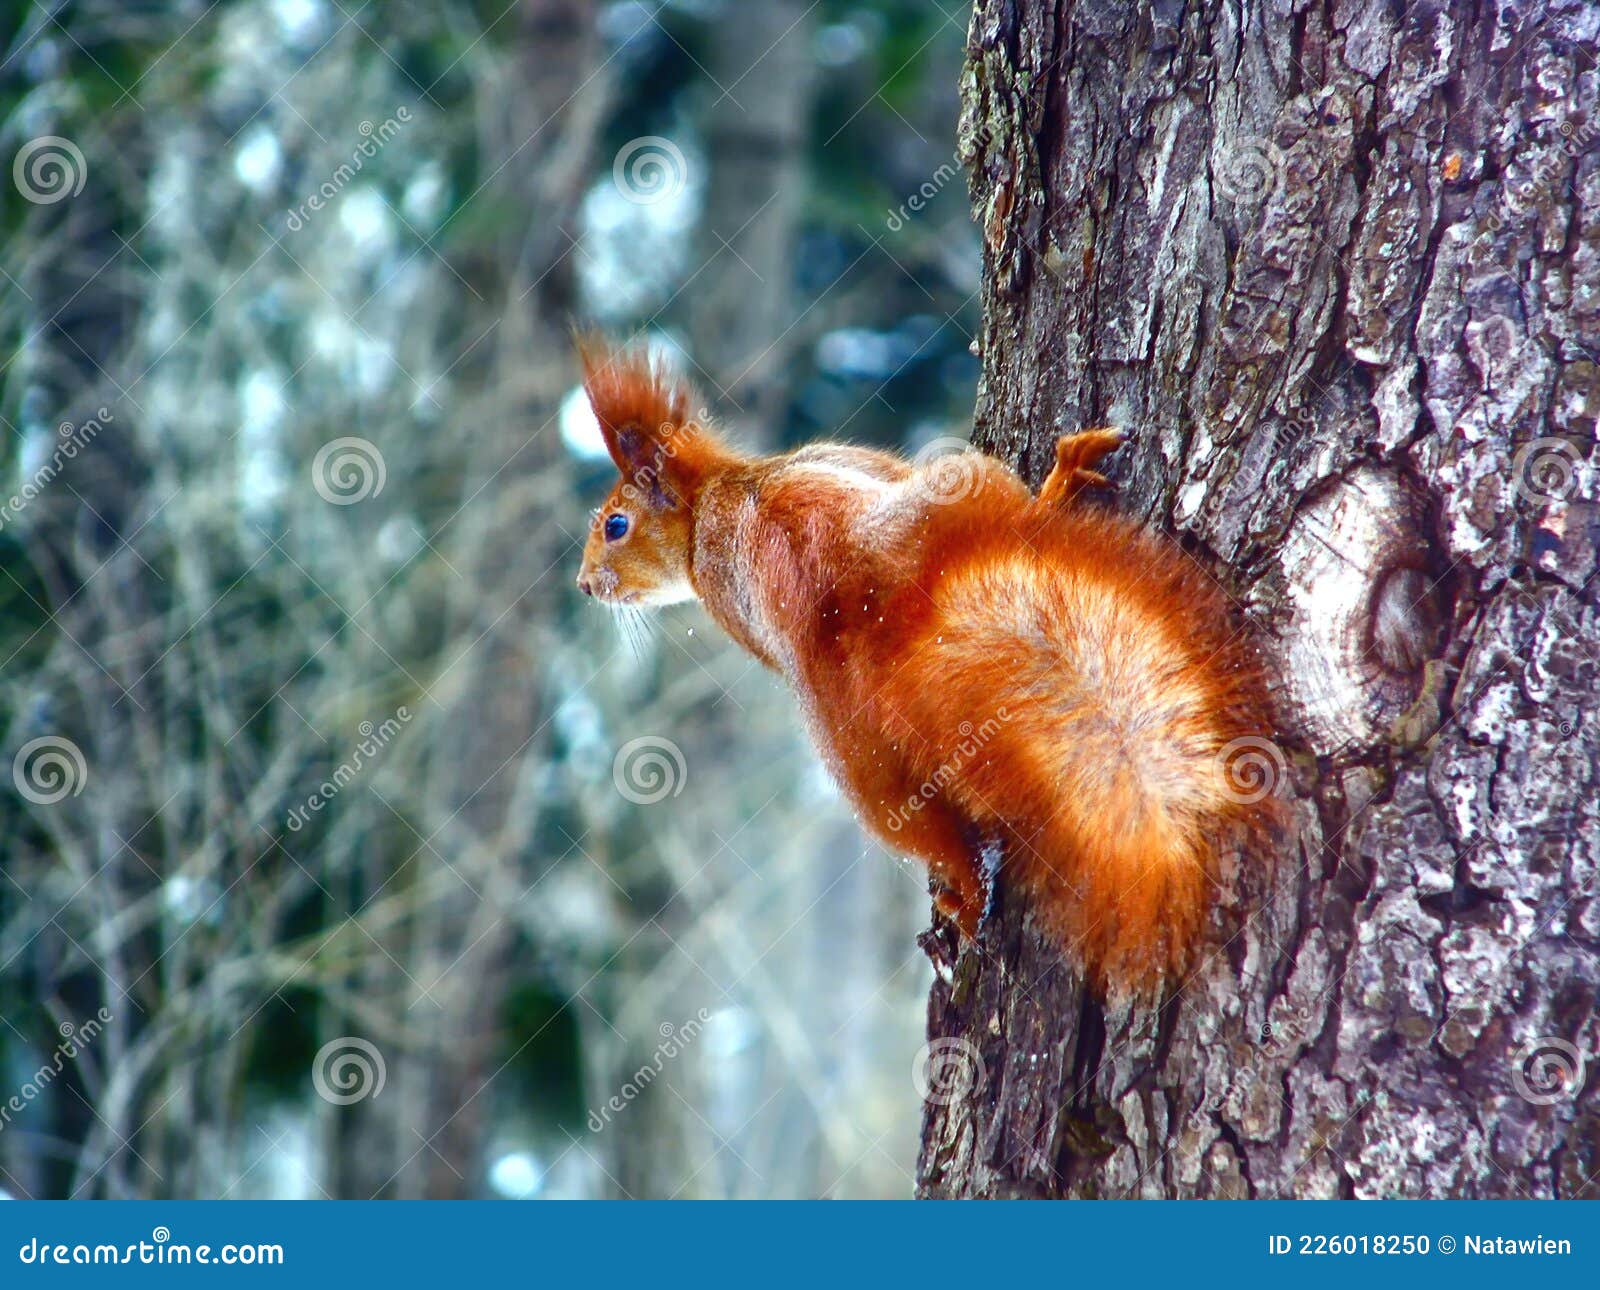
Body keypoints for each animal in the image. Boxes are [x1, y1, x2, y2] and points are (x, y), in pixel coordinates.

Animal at [574, 336, 1279, 997]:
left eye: (615, 524)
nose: (584, 586)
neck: (705, 510)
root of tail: (891, 627)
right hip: (961, 482)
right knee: (1017, 517)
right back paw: (1057, 488)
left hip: (871, 767)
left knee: (923, 829)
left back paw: (965, 893)